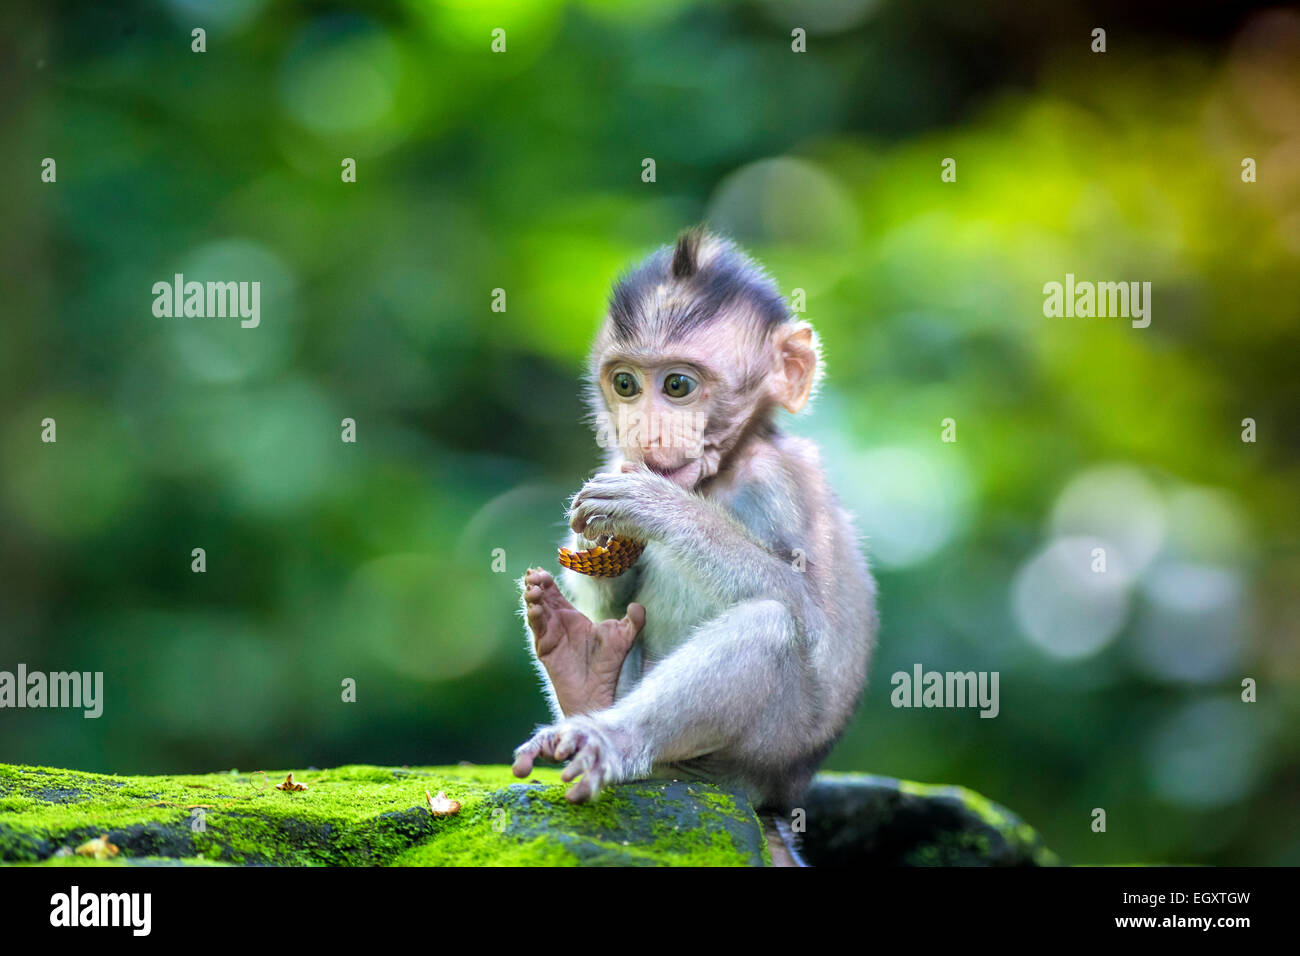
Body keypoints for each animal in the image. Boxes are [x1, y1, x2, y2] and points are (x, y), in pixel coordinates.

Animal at [513, 227, 877, 815]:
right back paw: (583, 671)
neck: (718, 476)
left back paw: (610, 735)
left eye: (678, 386)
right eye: (625, 384)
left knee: (770, 627)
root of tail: (780, 789)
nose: (644, 431)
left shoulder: (780, 483)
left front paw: (659, 508)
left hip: (771, 746)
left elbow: (815, 624)